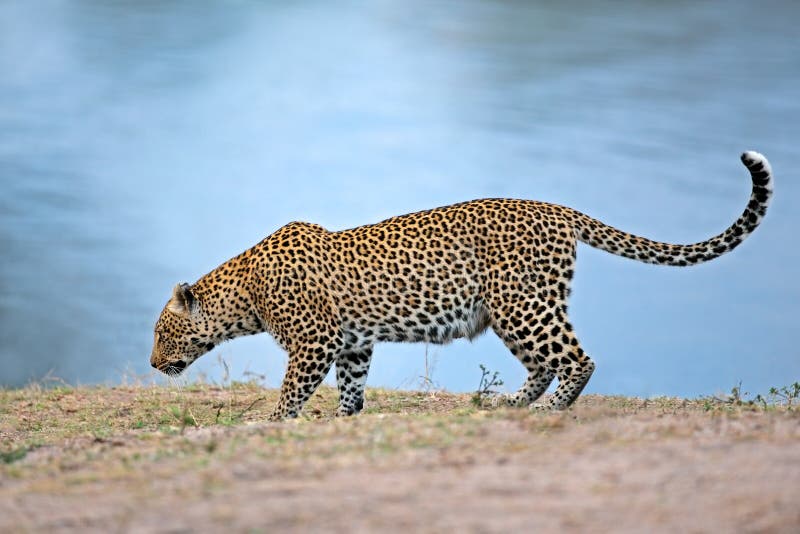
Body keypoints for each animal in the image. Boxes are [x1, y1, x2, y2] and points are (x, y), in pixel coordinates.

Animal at [150, 152, 773, 420]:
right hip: (518, 309)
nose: (154, 365)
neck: (243, 295)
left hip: (521, 305)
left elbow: (291, 391)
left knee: (576, 358)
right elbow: (351, 387)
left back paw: (548, 410)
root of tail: (558, 208)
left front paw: (277, 422)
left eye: (160, 333)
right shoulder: (352, 343)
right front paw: (348, 418)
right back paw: (505, 402)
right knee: (544, 363)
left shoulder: (313, 342)